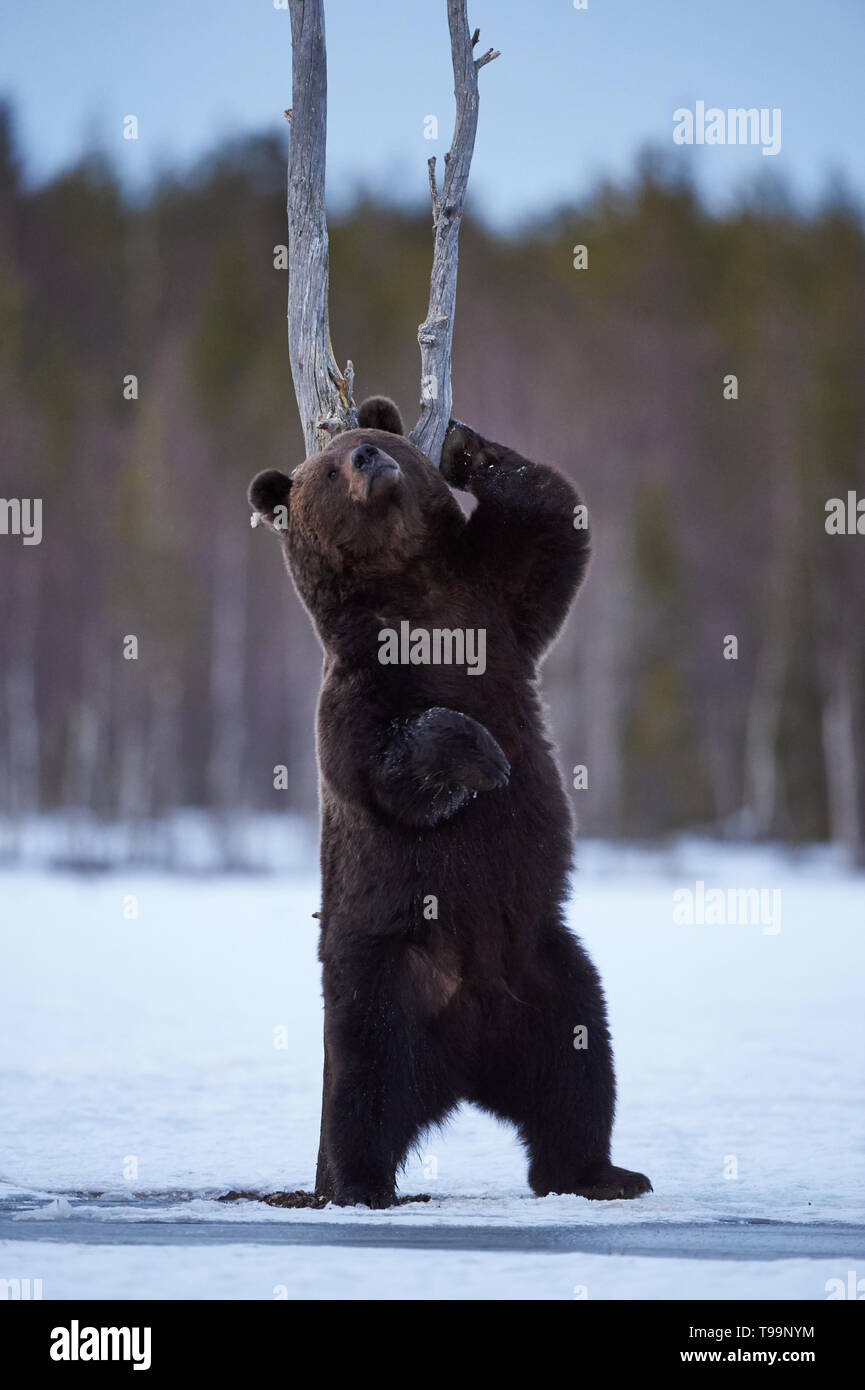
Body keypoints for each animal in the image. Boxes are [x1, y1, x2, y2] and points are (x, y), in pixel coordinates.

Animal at [248, 396, 651, 1207]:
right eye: (325, 472)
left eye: (369, 438)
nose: (368, 458)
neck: (409, 592)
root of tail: (467, 1060)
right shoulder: (358, 685)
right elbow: (382, 768)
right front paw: (483, 757)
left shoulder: (494, 605)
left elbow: (552, 522)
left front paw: (466, 446)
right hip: (387, 969)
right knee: (365, 1081)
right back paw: (359, 1184)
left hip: (544, 968)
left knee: (580, 1065)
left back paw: (602, 1173)